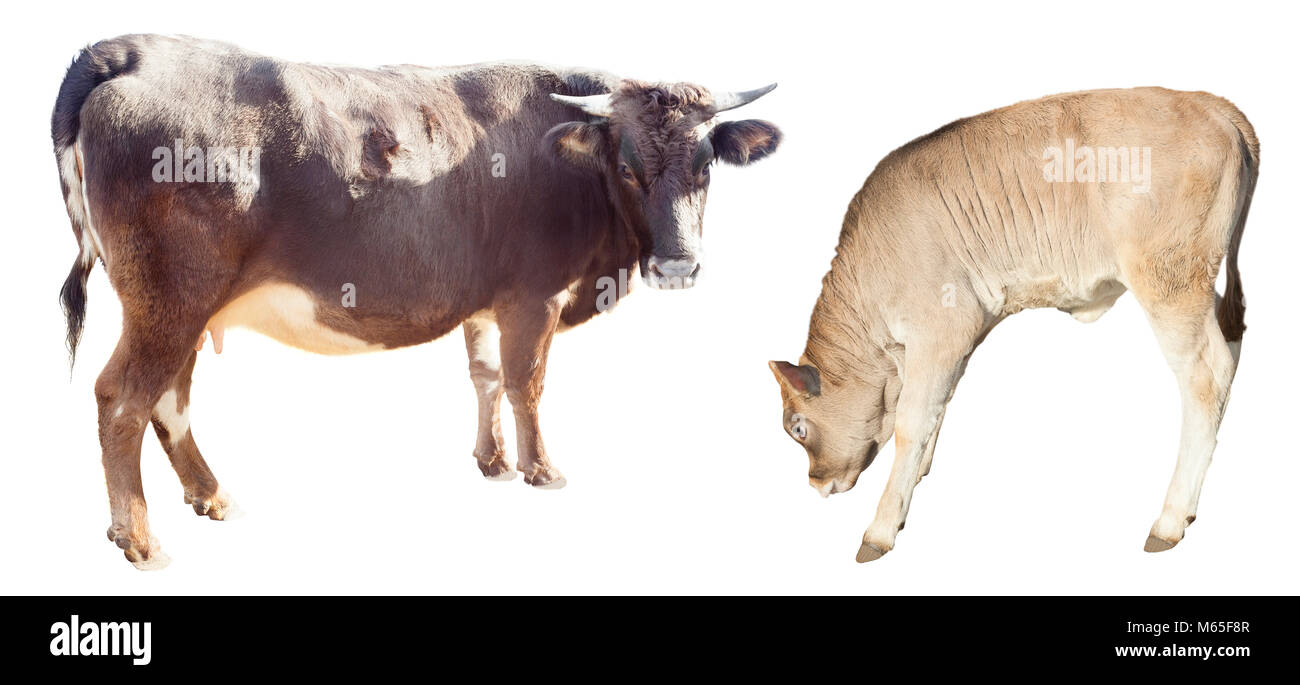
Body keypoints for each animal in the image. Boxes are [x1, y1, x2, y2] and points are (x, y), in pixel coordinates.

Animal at [53, 34, 782, 569]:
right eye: (627, 169)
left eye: (706, 167)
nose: (678, 264)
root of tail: (134, 48)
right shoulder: (535, 295)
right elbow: (526, 382)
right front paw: (540, 470)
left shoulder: (487, 301)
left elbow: (485, 376)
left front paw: (492, 461)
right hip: (168, 299)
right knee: (123, 399)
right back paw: (139, 539)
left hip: (184, 306)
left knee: (169, 398)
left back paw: (210, 496)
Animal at [769, 87, 1257, 562]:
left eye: (798, 428)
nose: (817, 484)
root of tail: (1209, 103)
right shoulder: (952, 339)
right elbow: (936, 406)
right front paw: (919, 473)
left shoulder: (940, 327)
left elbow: (911, 421)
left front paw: (882, 528)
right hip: (1201, 281)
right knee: (1229, 345)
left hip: (1169, 280)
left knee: (1205, 377)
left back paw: (1170, 521)